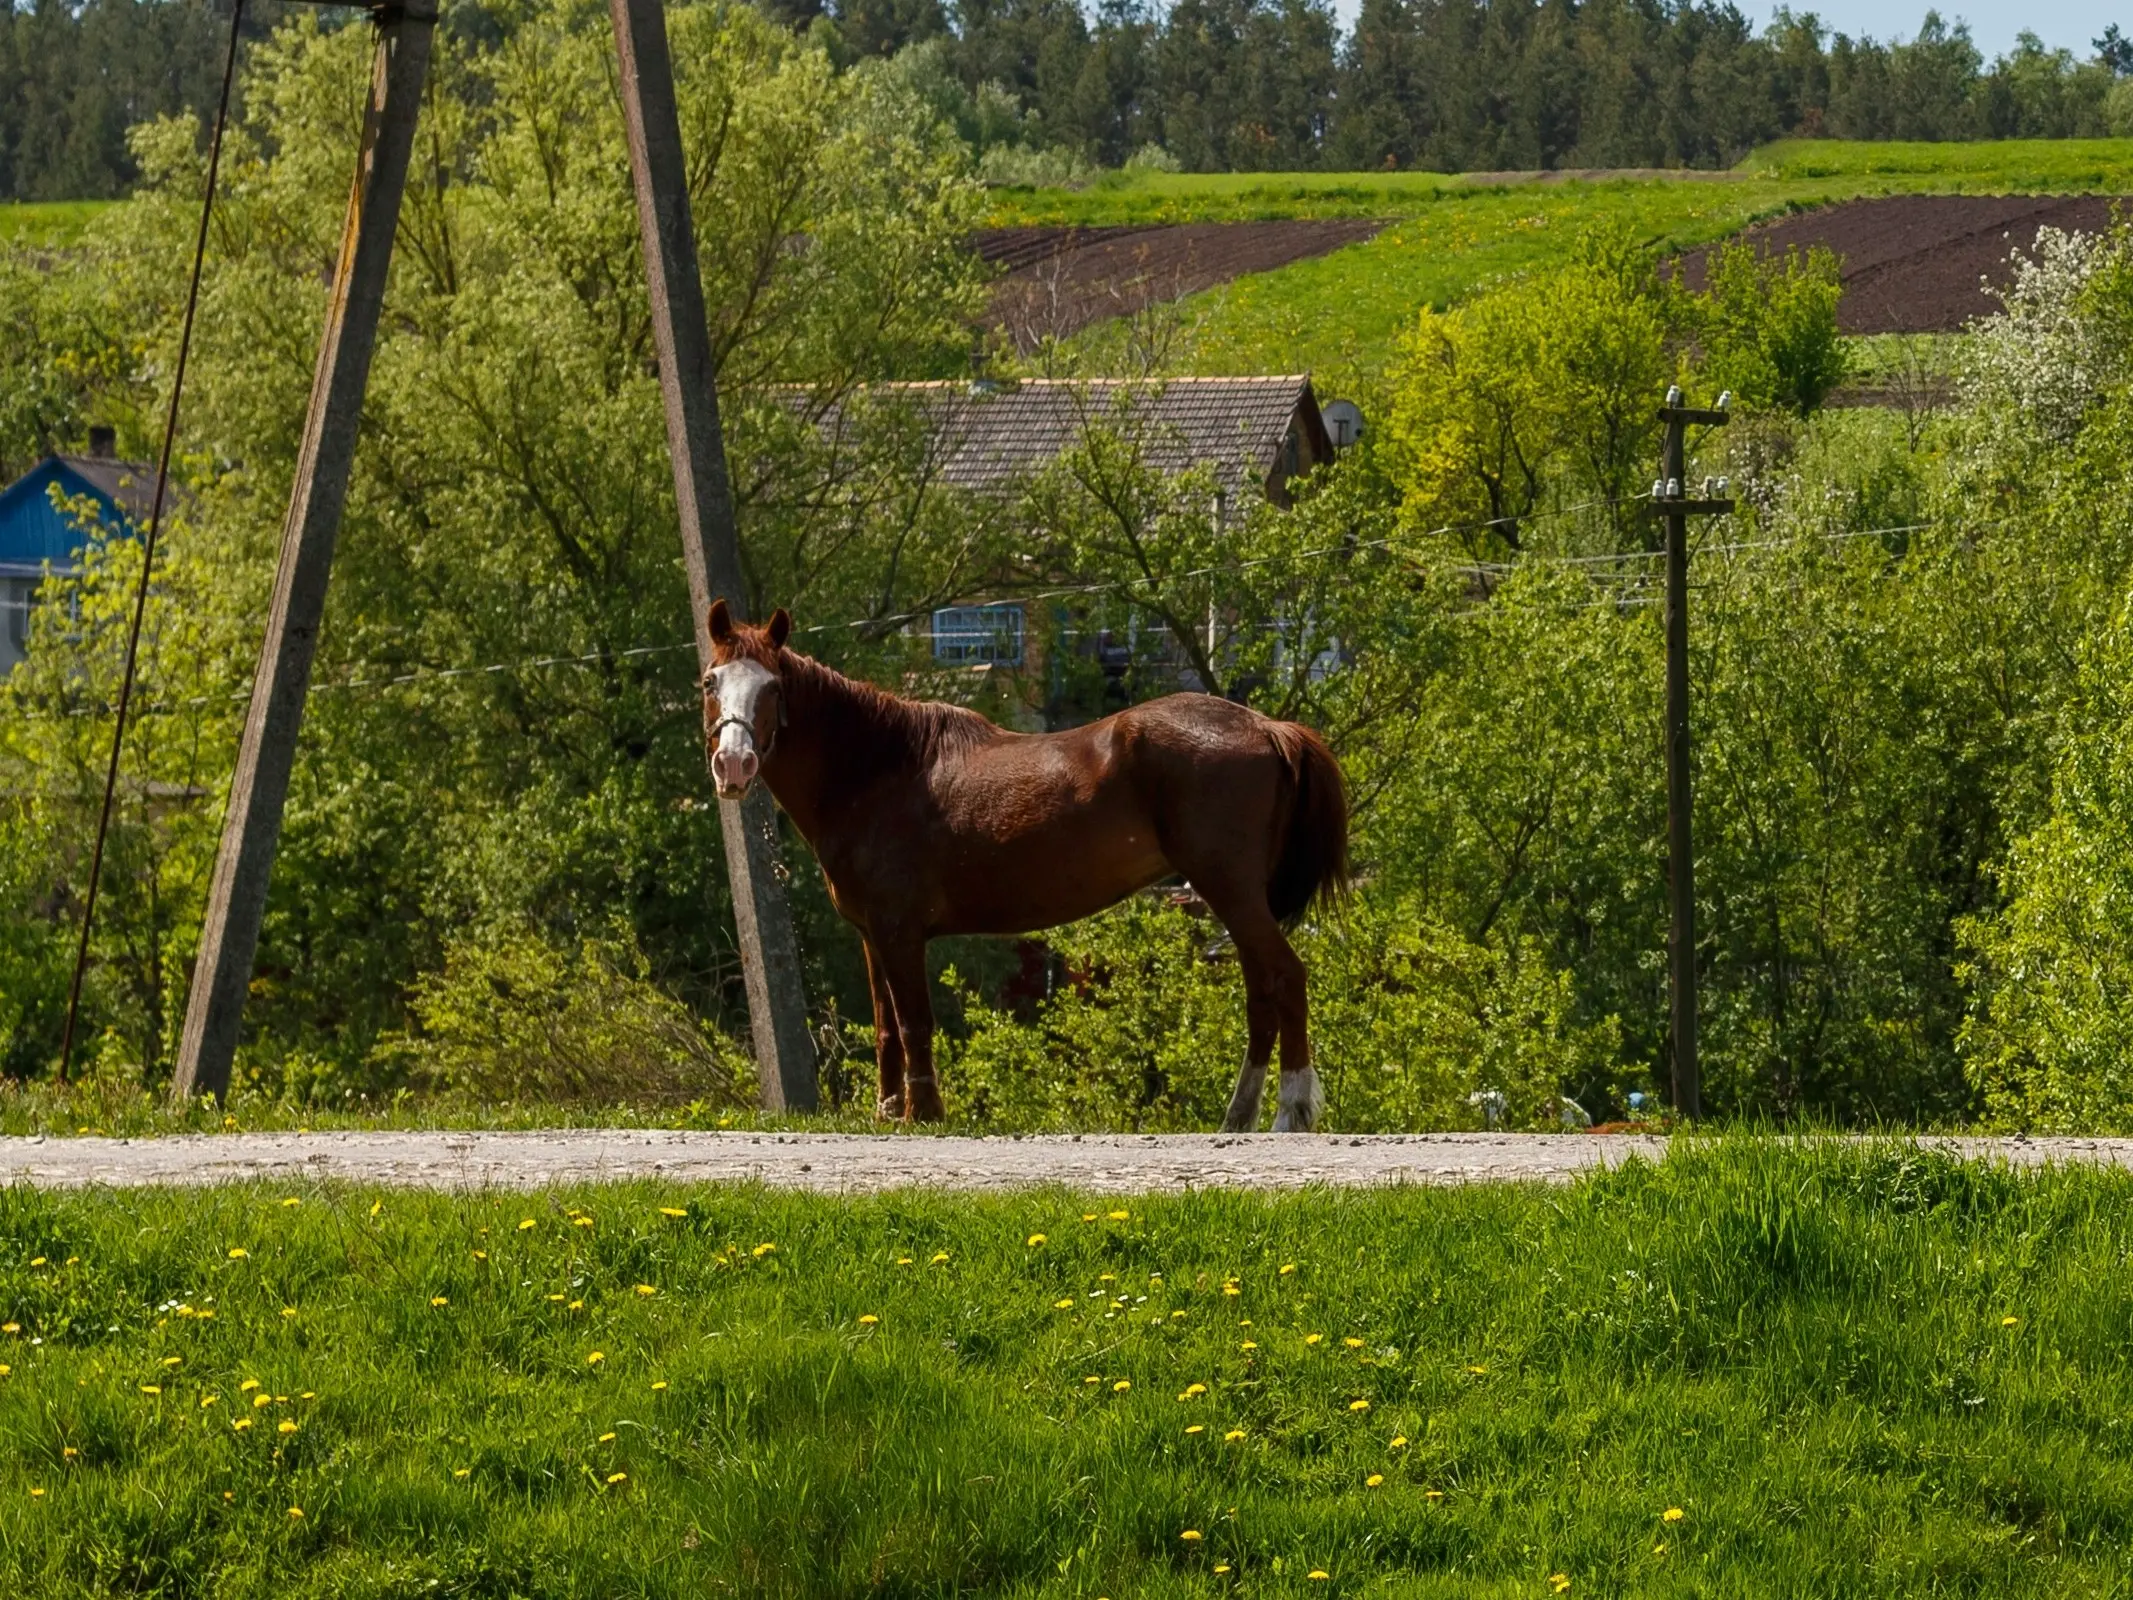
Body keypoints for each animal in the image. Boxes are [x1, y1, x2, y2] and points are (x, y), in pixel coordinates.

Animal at [701, 599, 1349, 1132]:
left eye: (773, 687)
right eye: (711, 681)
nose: (732, 764)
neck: (879, 769)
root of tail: (1267, 726)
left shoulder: (899, 932)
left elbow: (914, 1023)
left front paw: (924, 1112)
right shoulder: (871, 936)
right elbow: (887, 1026)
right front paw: (889, 1112)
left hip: (1230, 890)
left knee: (1286, 978)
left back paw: (1290, 1113)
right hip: (1234, 899)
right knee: (1261, 995)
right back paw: (1238, 1116)